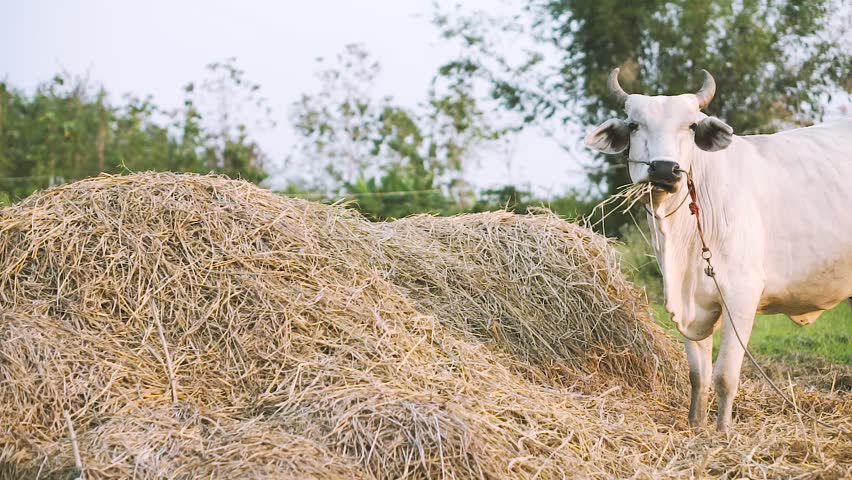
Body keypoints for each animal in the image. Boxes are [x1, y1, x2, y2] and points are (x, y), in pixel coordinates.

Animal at [584, 68, 852, 431]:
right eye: (635, 124)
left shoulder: (741, 294)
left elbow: (725, 375)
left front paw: (723, 431)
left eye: (691, 126)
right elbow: (699, 374)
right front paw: (696, 425)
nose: (664, 169)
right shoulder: (688, 303)